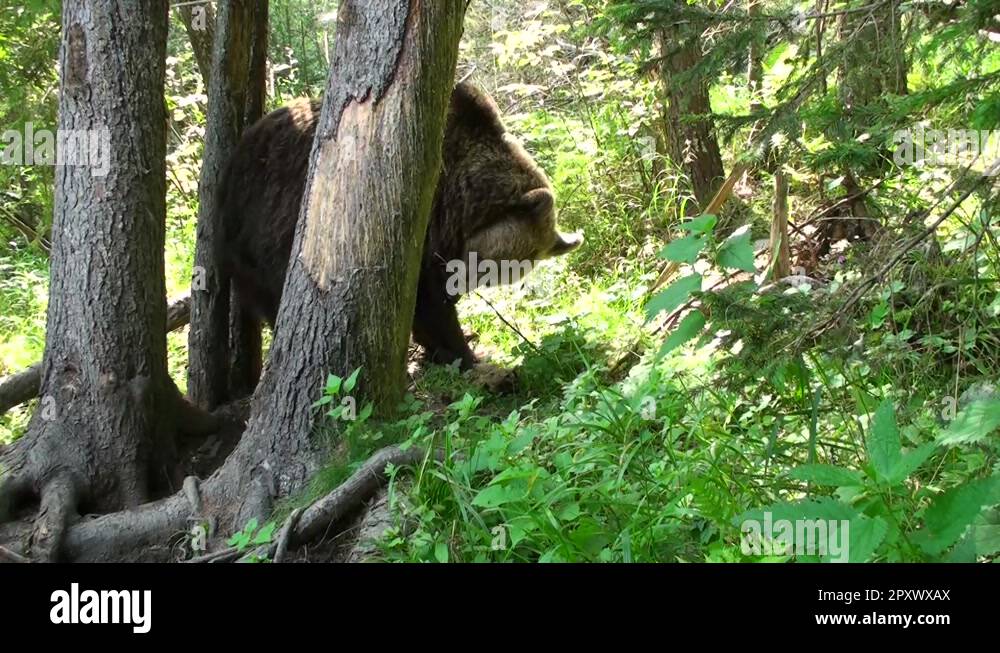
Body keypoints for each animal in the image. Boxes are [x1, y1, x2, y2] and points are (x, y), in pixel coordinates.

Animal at [217, 81, 582, 387]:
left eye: (508, 270)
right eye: (492, 268)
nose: (458, 289)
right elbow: (428, 306)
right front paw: (465, 354)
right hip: (261, 237)